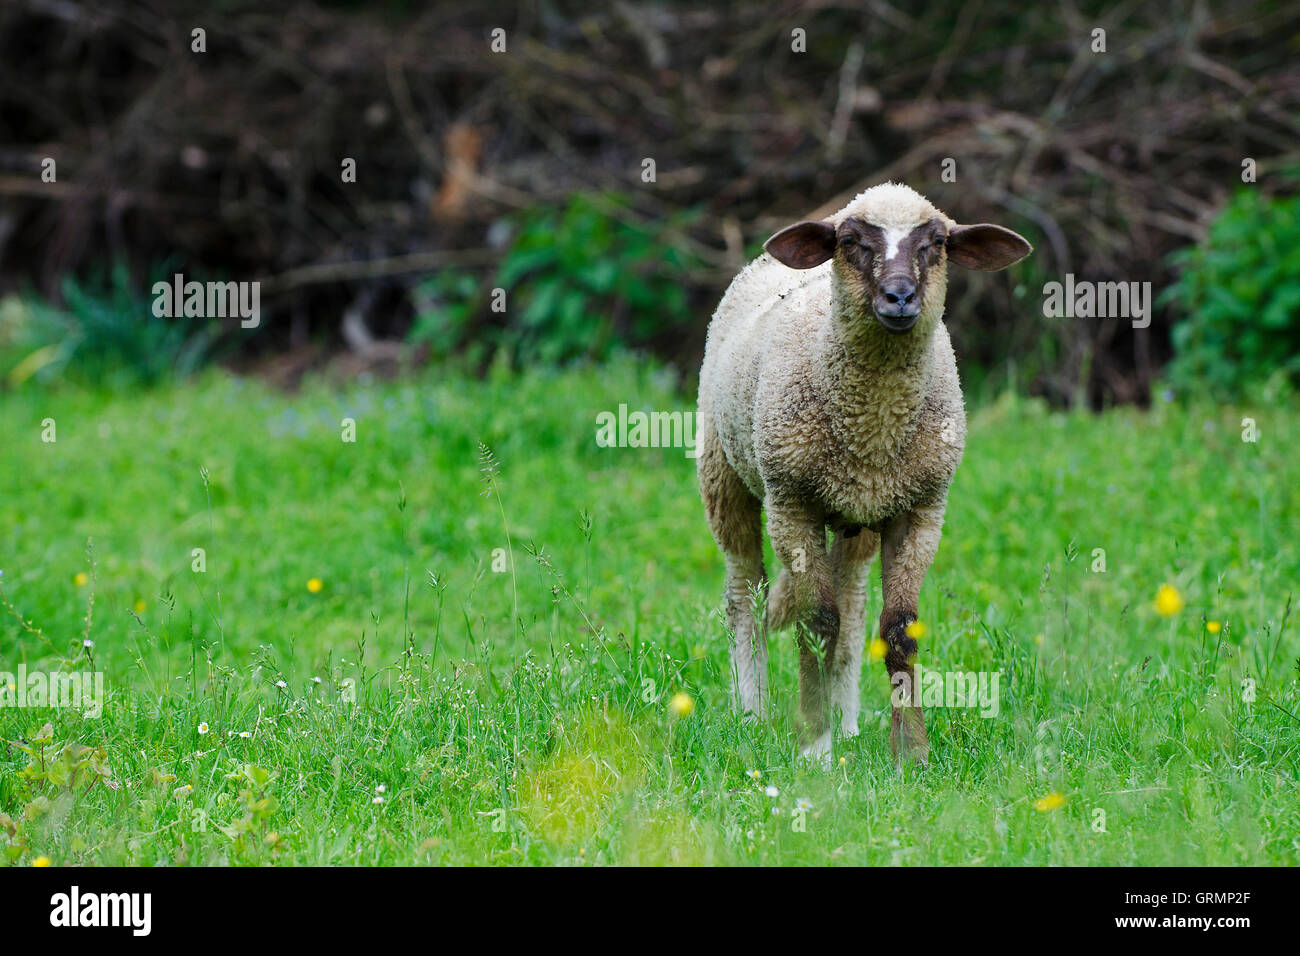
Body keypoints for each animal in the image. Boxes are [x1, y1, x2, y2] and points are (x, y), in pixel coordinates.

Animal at [696, 182, 1031, 765]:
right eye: (850, 242)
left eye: (937, 243)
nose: (900, 297)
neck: (873, 426)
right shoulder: (793, 506)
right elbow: (814, 623)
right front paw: (815, 746)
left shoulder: (922, 510)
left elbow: (898, 630)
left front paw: (911, 753)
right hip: (725, 475)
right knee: (746, 595)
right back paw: (752, 712)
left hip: (858, 517)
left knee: (851, 606)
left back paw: (849, 721)